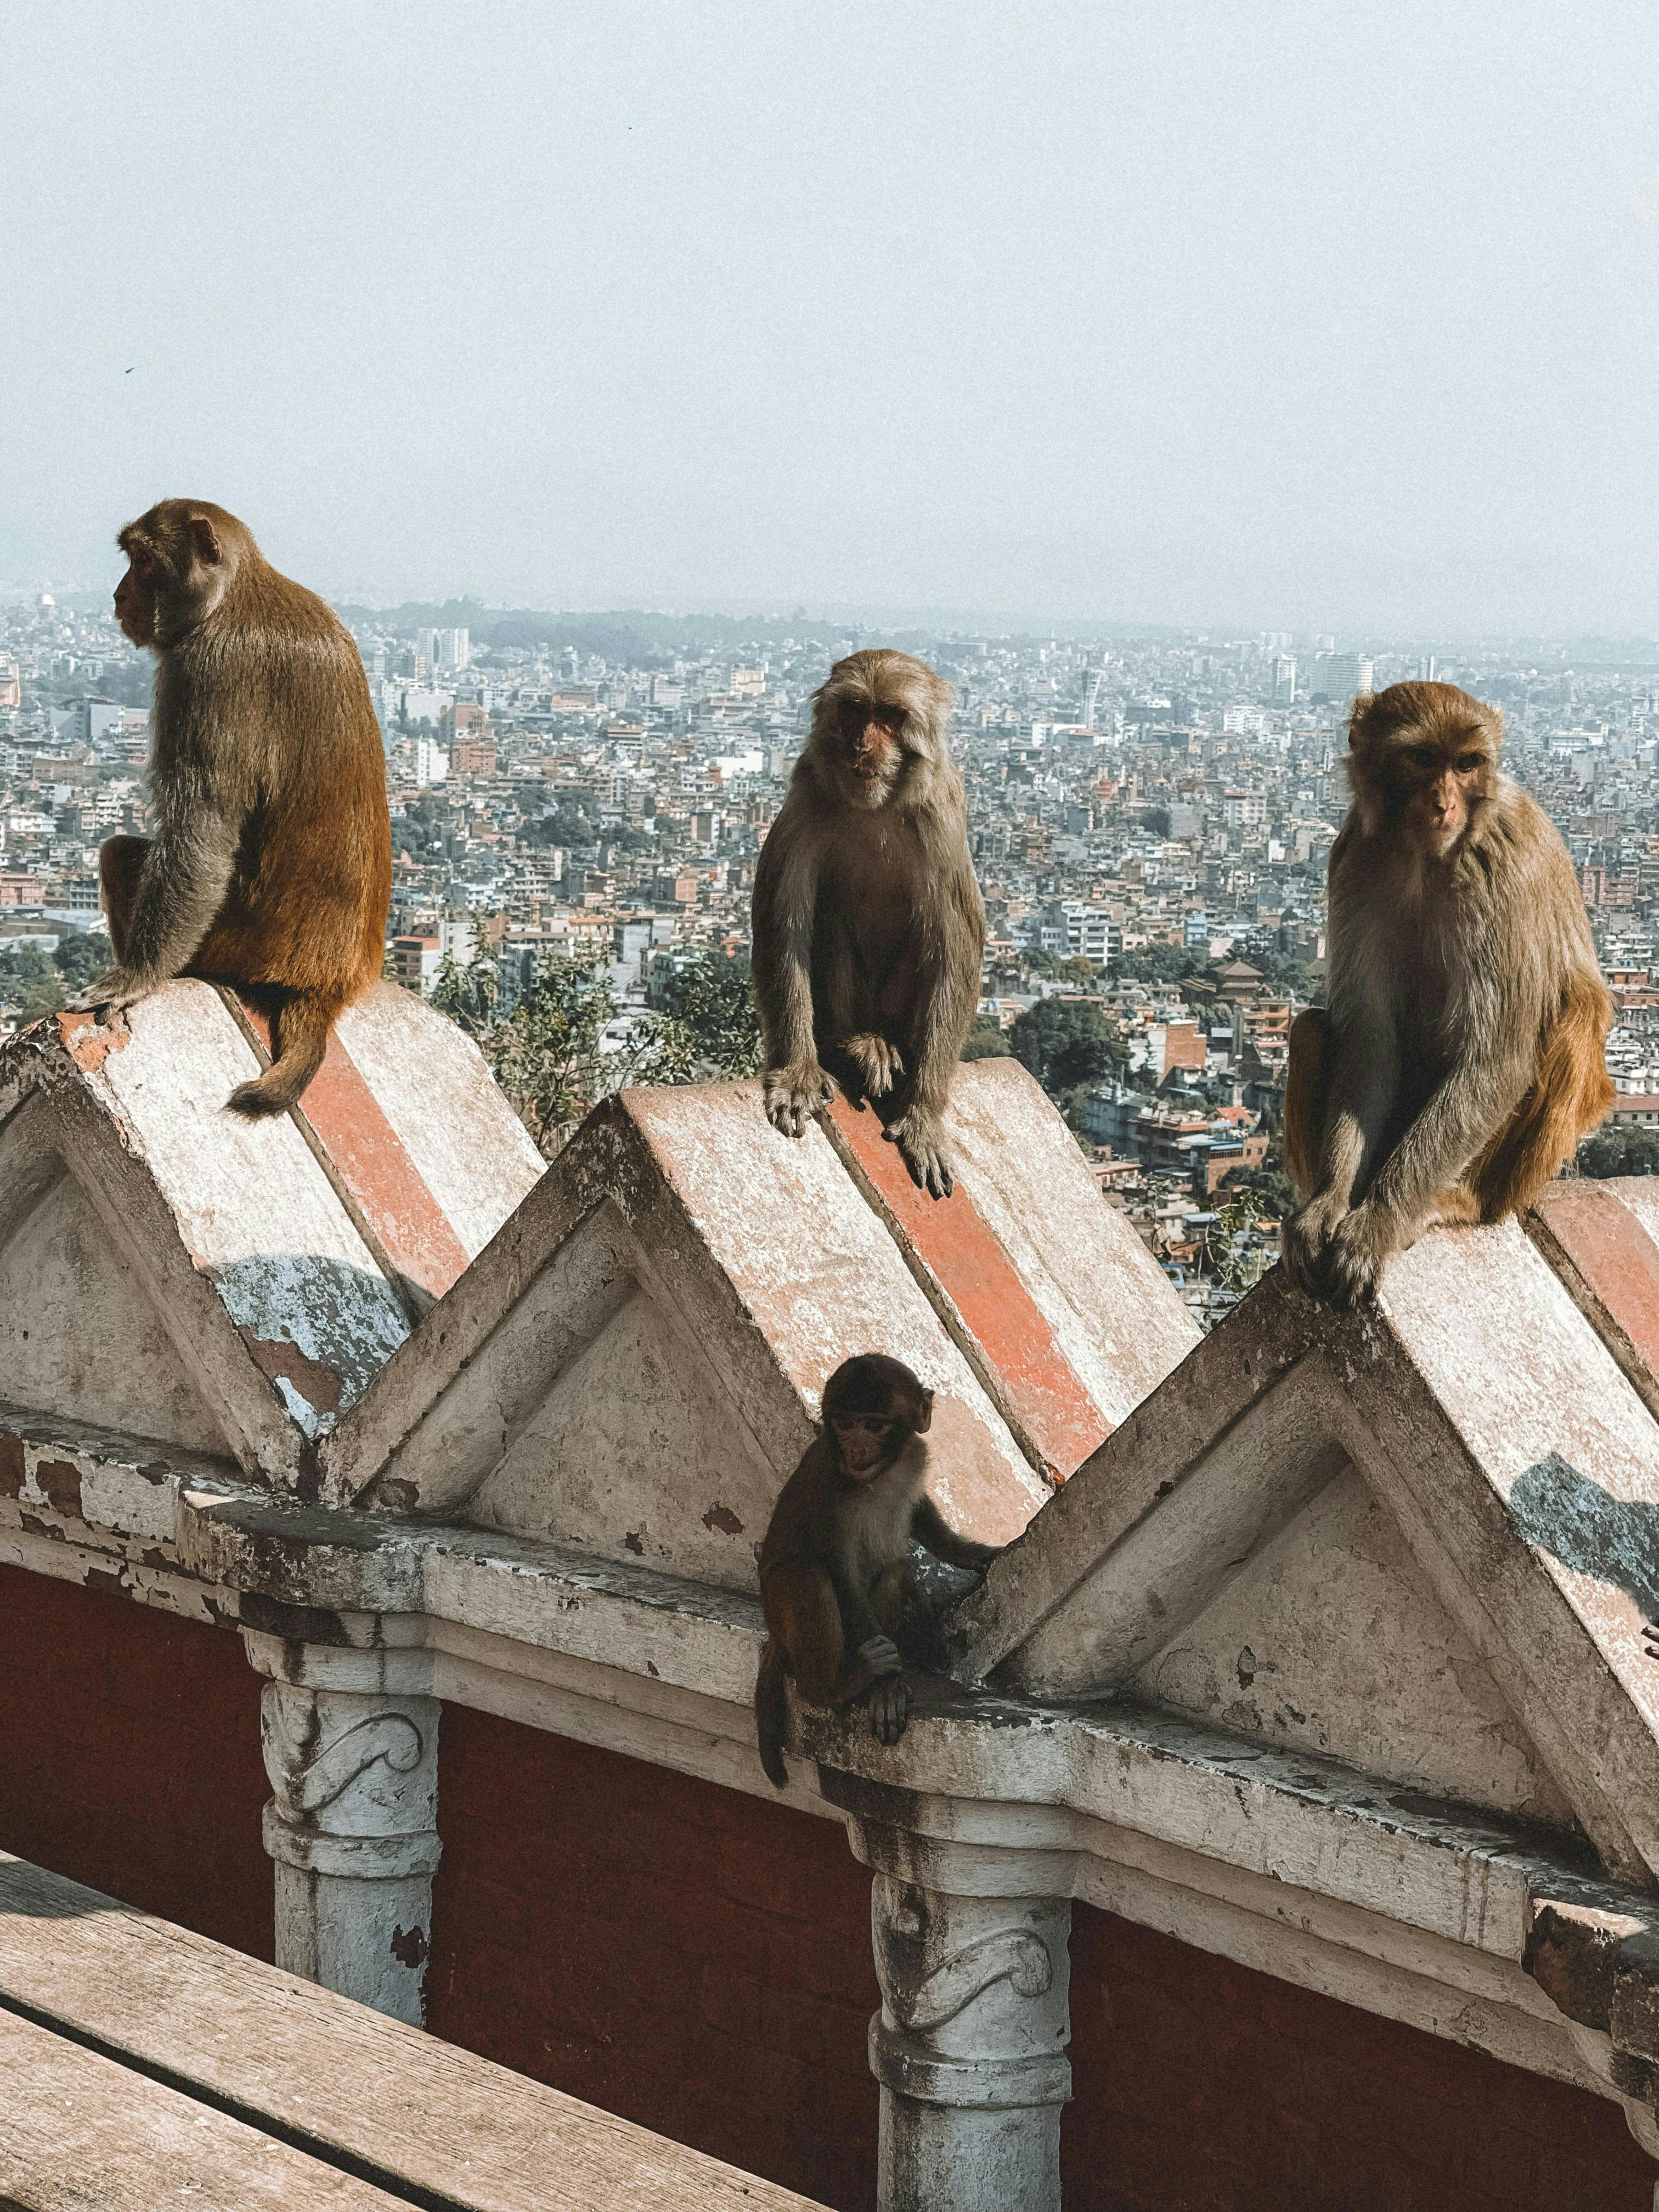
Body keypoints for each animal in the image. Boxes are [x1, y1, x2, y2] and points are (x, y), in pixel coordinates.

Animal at [69, 499, 392, 1117]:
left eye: (144, 562)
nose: (119, 596)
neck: (236, 594)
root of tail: (329, 985)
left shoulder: (205, 669)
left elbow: (202, 833)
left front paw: (138, 975)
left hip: (229, 945)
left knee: (122, 854)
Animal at [751, 649, 985, 1199]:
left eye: (892, 716)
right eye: (856, 710)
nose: (863, 744)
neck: (877, 803)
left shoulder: (942, 814)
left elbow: (956, 953)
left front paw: (923, 1119)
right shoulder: (808, 794)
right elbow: (783, 925)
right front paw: (797, 1072)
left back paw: (887, 1047)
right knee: (829, 916)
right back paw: (854, 1044)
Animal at [753, 1354, 1002, 1788]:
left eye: (874, 1425)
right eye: (845, 1422)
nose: (855, 1446)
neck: (880, 1476)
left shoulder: (913, 1457)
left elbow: (917, 1514)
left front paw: (969, 1552)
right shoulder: (827, 1480)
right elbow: (841, 1575)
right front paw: (885, 1685)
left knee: (895, 1572)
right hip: (783, 1619)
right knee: (806, 1576)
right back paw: (837, 1688)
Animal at [1282, 681, 1613, 1309]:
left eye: (1466, 764)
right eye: (1421, 759)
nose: (1444, 804)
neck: (1421, 855)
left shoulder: (1504, 864)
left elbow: (1497, 1059)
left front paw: (1377, 1224)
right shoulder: (1353, 860)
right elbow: (1369, 1043)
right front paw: (1330, 1205)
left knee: (1571, 1018)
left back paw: (1459, 1202)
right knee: (1310, 1029)